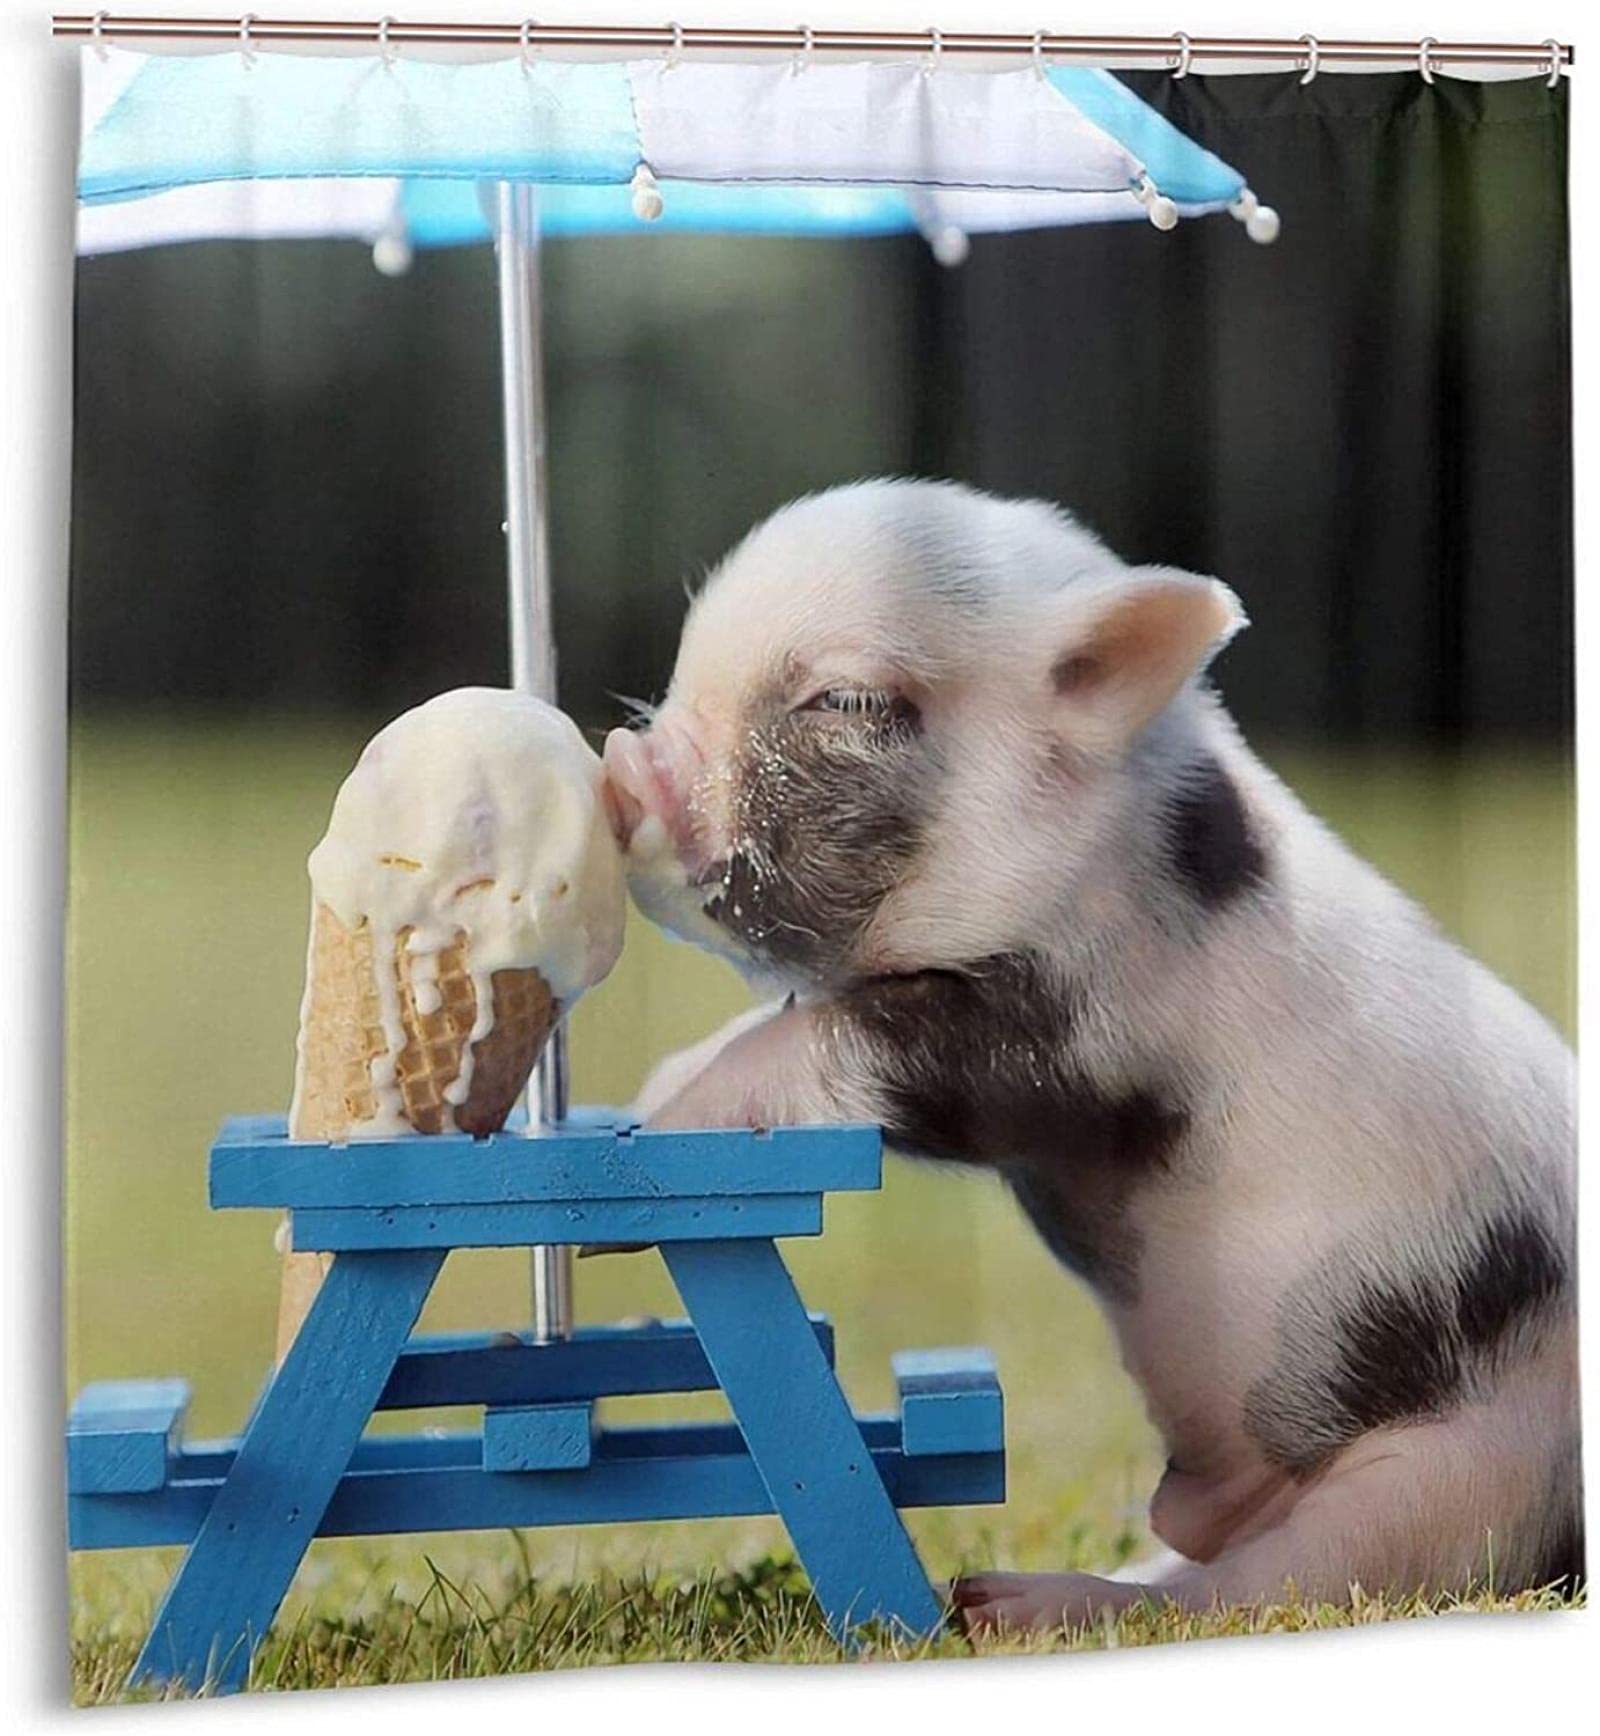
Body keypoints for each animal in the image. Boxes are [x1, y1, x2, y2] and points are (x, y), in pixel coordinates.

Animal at [600, 479, 1581, 1630]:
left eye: (843, 701)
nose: (623, 765)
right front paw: (653, 1087)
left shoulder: (1079, 1030)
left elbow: (842, 1038)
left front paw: (645, 1134)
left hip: (1462, 1481)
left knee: (1256, 1591)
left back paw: (997, 1603)